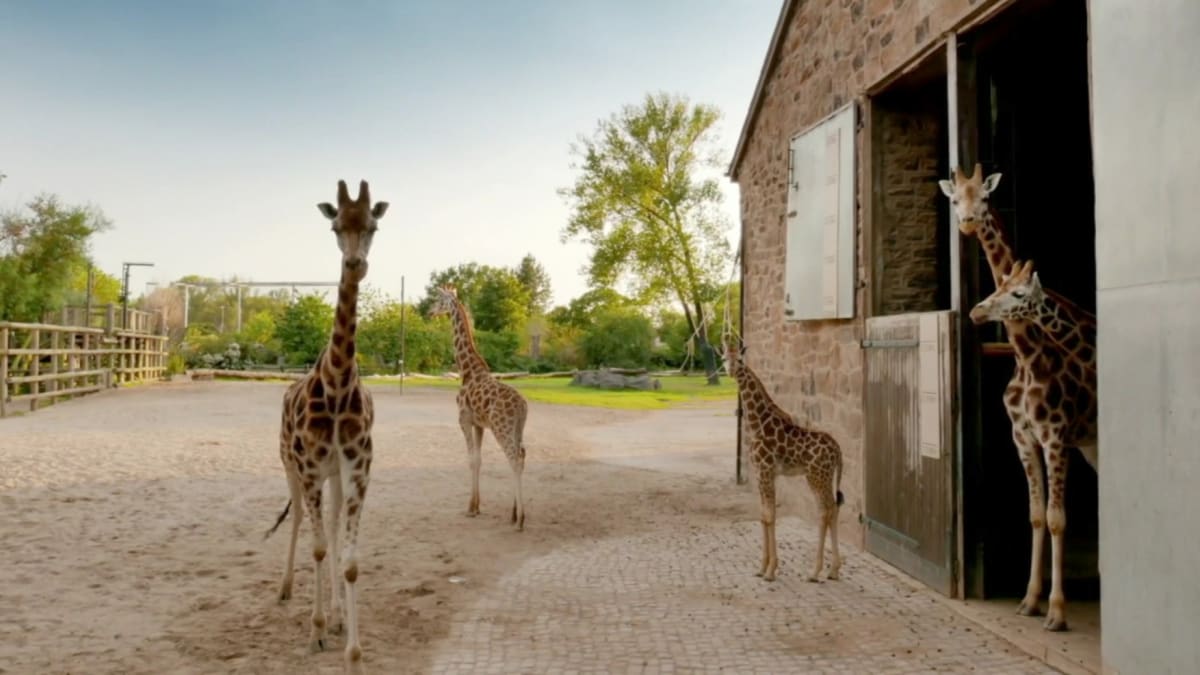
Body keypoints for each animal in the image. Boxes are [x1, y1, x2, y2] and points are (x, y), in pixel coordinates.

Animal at [264, 179, 388, 671]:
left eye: (372, 225)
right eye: (336, 226)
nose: (355, 264)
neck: (336, 383)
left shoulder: (357, 467)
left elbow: (348, 558)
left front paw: (352, 650)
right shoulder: (311, 466)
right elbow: (317, 547)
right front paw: (315, 631)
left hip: (333, 475)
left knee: (330, 526)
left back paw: (335, 615)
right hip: (290, 466)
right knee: (299, 518)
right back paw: (285, 590)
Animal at [429, 285, 529, 530]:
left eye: (438, 300)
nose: (429, 312)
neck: (466, 370)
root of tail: (523, 407)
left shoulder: (463, 420)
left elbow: (471, 459)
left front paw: (470, 508)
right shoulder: (479, 425)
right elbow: (479, 460)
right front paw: (476, 506)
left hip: (501, 428)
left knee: (515, 459)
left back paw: (520, 520)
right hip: (516, 429)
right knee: (522, 455)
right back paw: (514, 514)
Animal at [724, 339, 844, 583]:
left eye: (739, 359)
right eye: (724, 357)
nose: (730, 370)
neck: (757, 423)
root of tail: (837, 450)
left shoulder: (764, 470)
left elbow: (770, 516)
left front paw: (771, 571)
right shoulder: (765, 473)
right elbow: (764, 515)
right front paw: (762, 568)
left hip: (816, 476)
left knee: (824, 511)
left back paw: (815, 571)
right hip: (825, 477)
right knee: (833, 509)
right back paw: (833, 570)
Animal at [970, 259, 1098, 631]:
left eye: (1018, 293)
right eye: (999, 285)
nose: (975, 311)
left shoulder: (1055, 439)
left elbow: (1056, 518)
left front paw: (1056, 612)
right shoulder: (1024, 439)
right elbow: (1037, 514)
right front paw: (1030, 601)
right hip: (1091, 446)